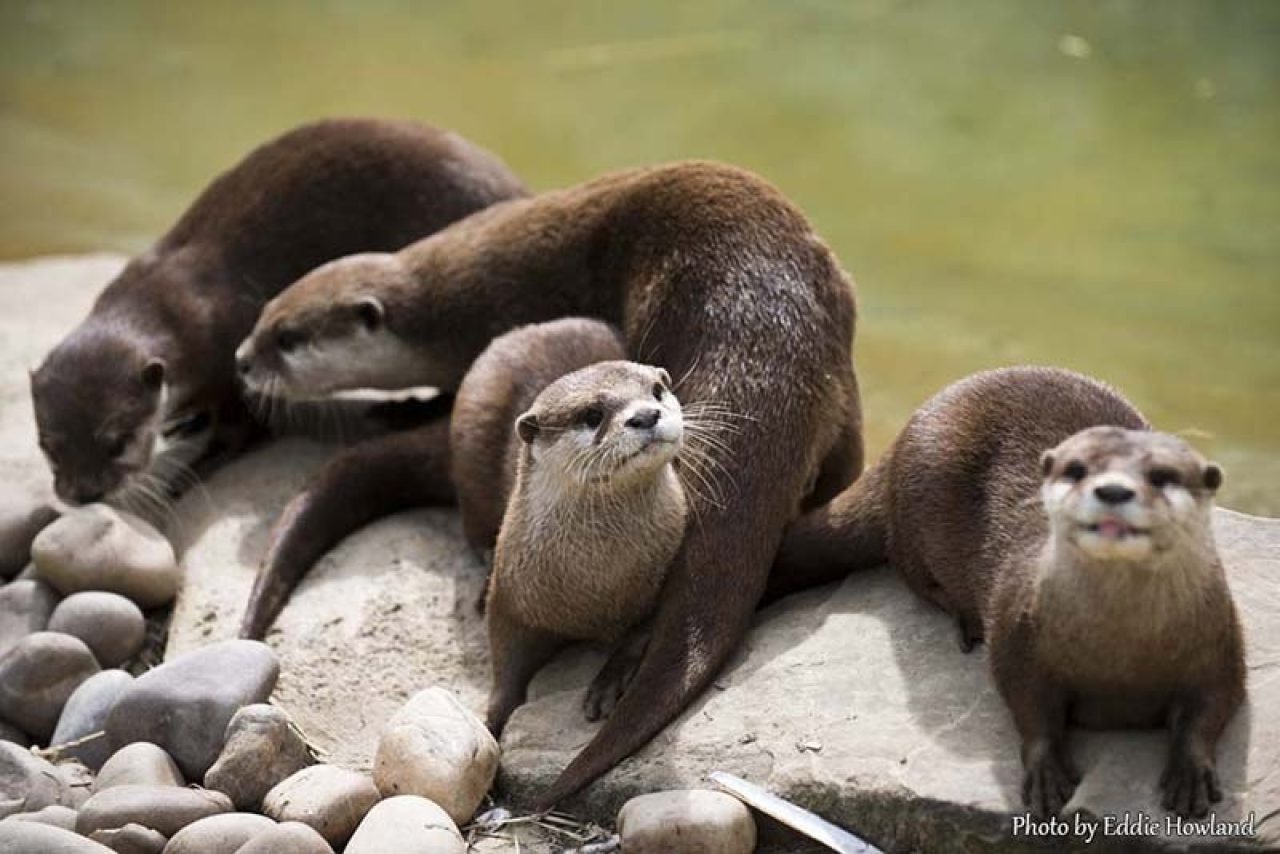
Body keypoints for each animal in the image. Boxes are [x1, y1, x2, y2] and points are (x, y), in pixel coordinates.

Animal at [30, 117, 526, 512]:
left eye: (116, 441)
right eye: (47, 445)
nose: (83, 494)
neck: (168, 306)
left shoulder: (229, 353)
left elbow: (240, 426)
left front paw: (199, 463)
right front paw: (186, 422)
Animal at [775, 367, 1244, 819]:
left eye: (1162, 476)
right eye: (1077, 469)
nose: (1112, 490)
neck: (1120, 654)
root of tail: (902, 438)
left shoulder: (1221, 639)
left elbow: (1215, 702)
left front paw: (1191, 775)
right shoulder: (1019, 630)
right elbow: (1026, 700)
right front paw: (1046, 774)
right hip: (917, 499)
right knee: (910, 571)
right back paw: (965, 619)